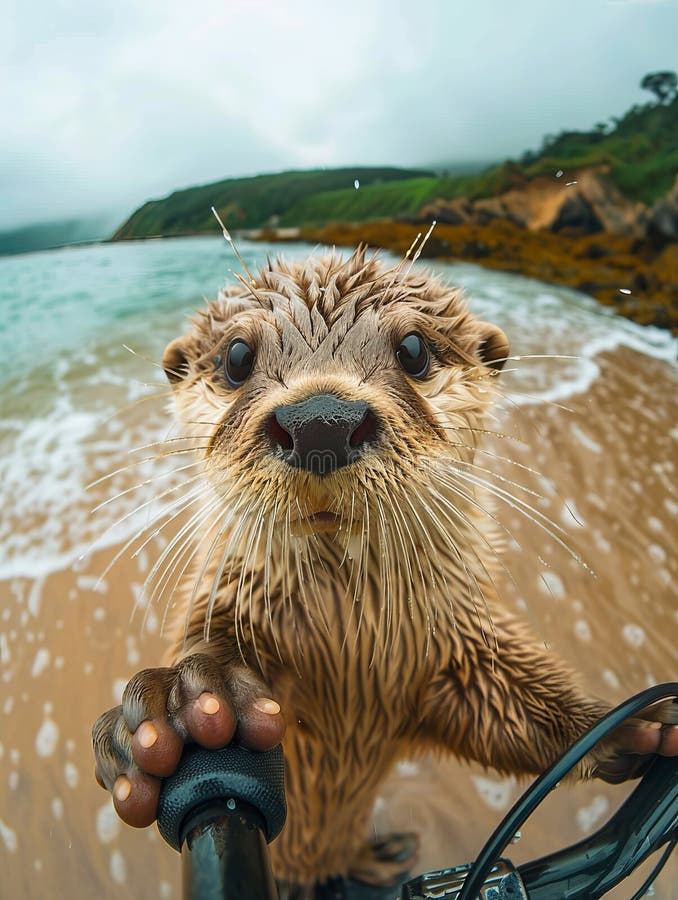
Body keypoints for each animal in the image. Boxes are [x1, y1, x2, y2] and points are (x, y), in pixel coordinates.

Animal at [92, 246, 677, 894]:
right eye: (238, 357)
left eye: (414, 349)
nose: (320, 419)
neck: (347, 645)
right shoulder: (231, 601)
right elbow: (208, 650)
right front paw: (190, 701)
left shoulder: (456, 652)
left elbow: (513, 711)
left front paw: (633, 727)